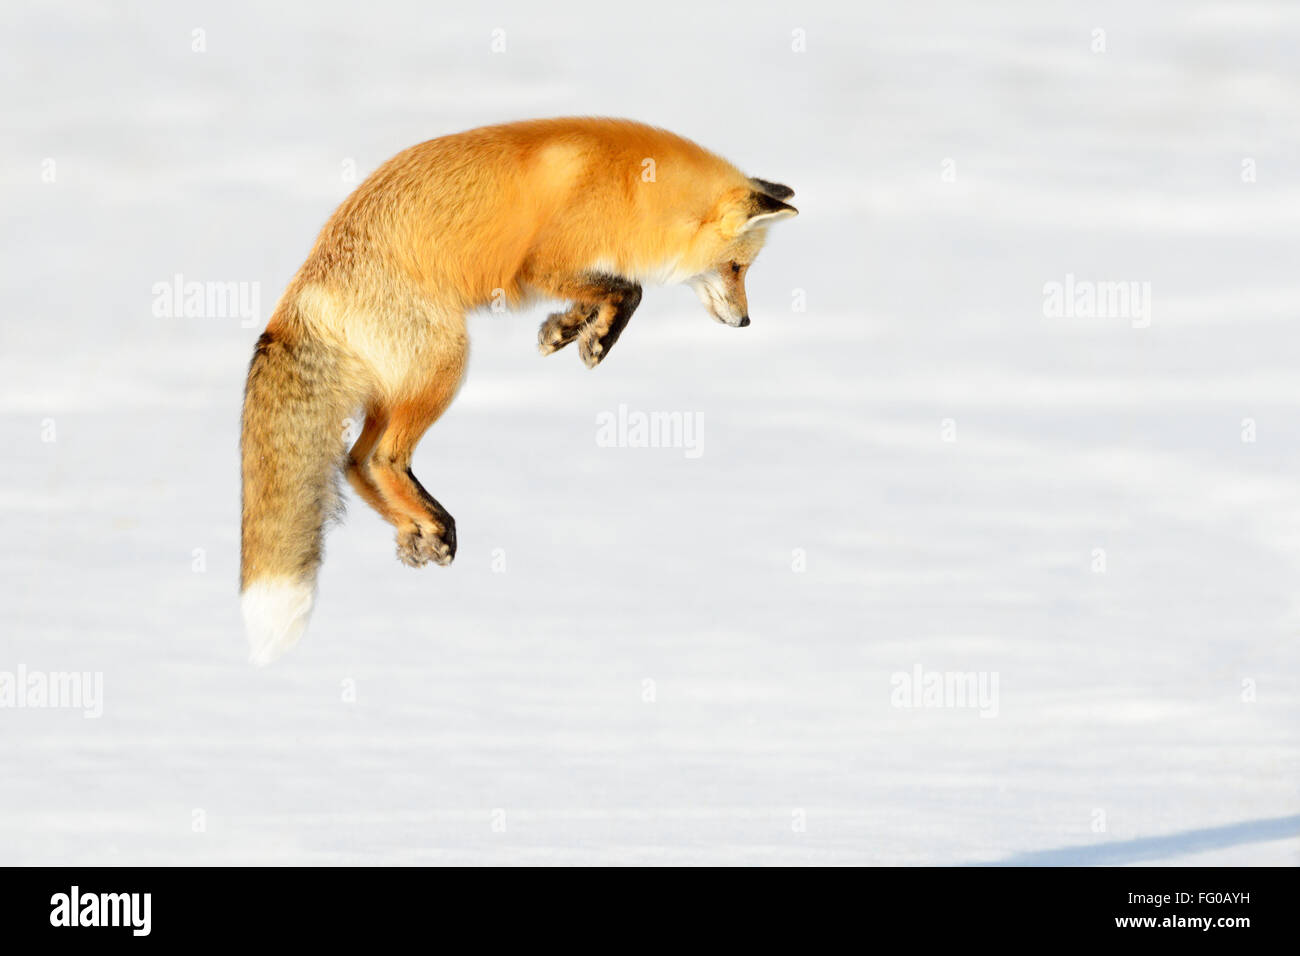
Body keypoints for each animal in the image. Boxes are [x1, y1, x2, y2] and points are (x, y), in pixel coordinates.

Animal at [239, 115, 795, 660]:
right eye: (736, 267)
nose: (746, 322)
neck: (632, 188)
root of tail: (302, 294)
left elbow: (606, 293)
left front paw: (568, 329)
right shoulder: (543, 264)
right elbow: (630, 289)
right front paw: (596, 338)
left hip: (398, 389)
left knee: (354, 462)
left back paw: (415, 529)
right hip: (445, 364)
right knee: (381, 459)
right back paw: (435, 523)